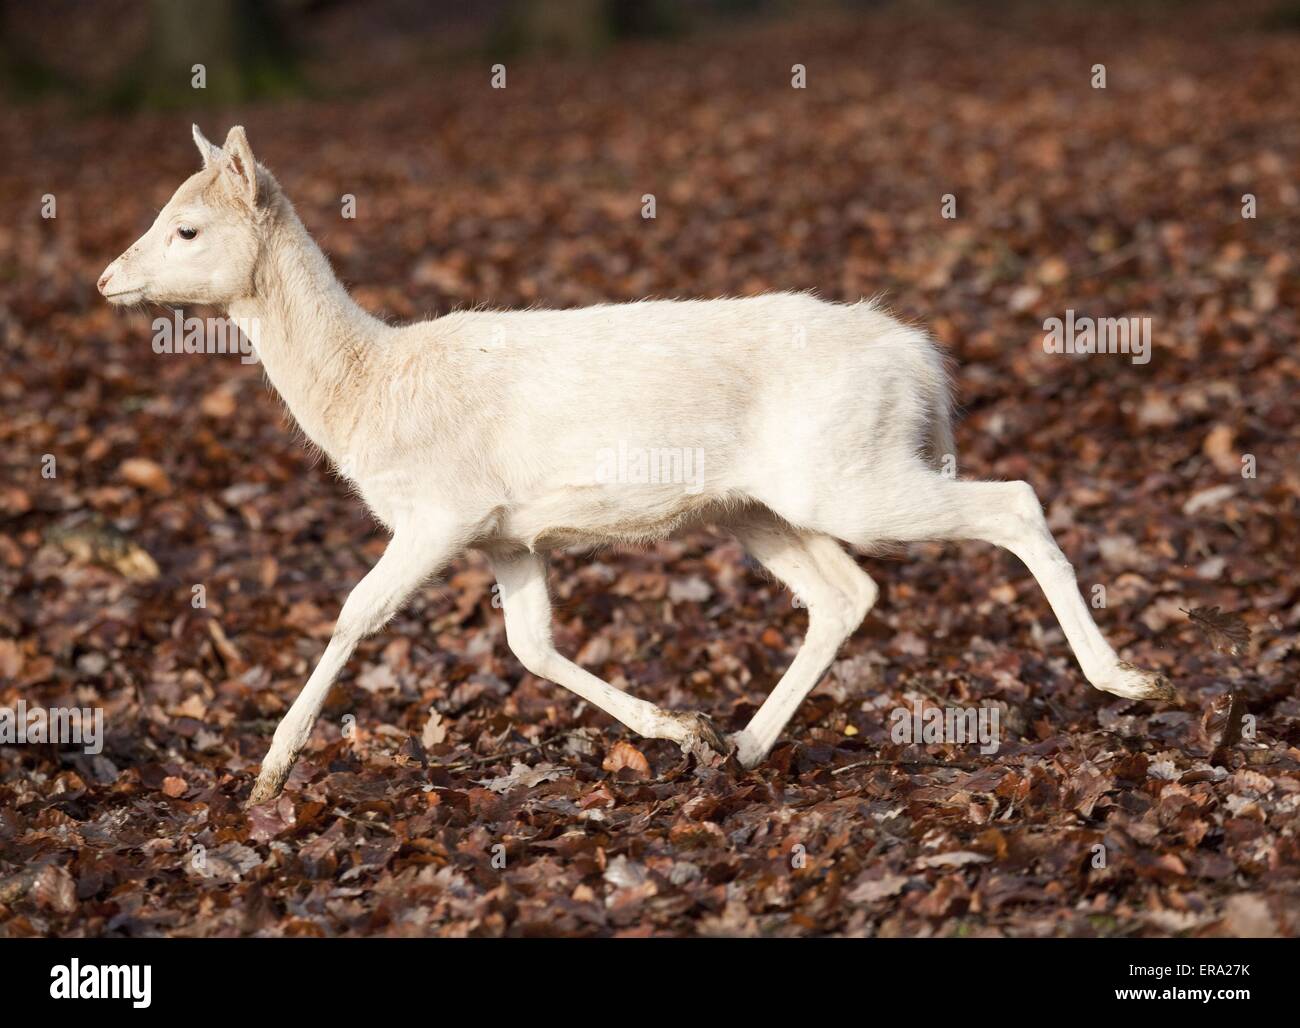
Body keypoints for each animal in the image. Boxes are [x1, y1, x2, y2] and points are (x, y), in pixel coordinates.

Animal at [98, 125, 1175, 806]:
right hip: (761, 505)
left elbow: (357, 613)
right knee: (846, 591)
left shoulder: (442, 509)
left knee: (1012, 500)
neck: (368, 392)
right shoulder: (506, 531)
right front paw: (682, 728)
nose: (108, 277)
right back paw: (744, 743)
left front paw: (266, 778)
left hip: (851, 477)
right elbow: (529, 645)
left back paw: (1127, 679)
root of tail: (922, 359)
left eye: (187, 227)